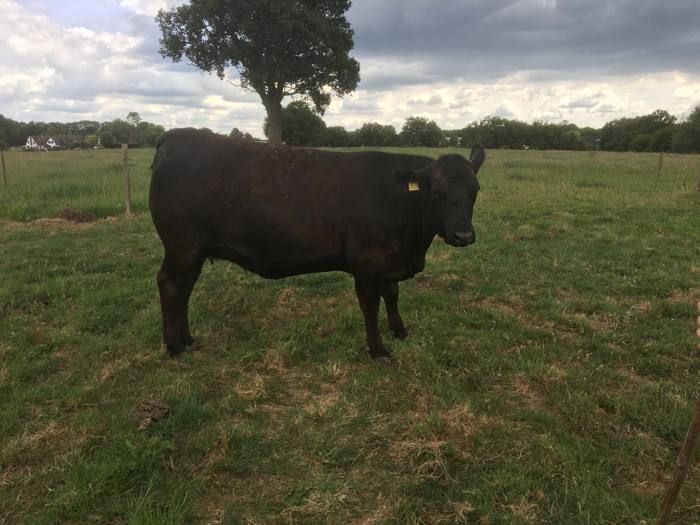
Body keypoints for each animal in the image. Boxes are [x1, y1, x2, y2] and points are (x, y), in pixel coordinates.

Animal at [149, 129, 485, 359]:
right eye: (437, 193)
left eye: (475, 190)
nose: (464, 235)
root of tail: (175, 135)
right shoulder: (366, 262)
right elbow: (370, 305)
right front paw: (377, 350)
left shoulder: (390, 260)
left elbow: (392, 296)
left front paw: (400, 332)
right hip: (183, 247)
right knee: (170, 286)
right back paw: (176, 345)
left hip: (191, 252)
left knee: (183, 290)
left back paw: (187, 340)